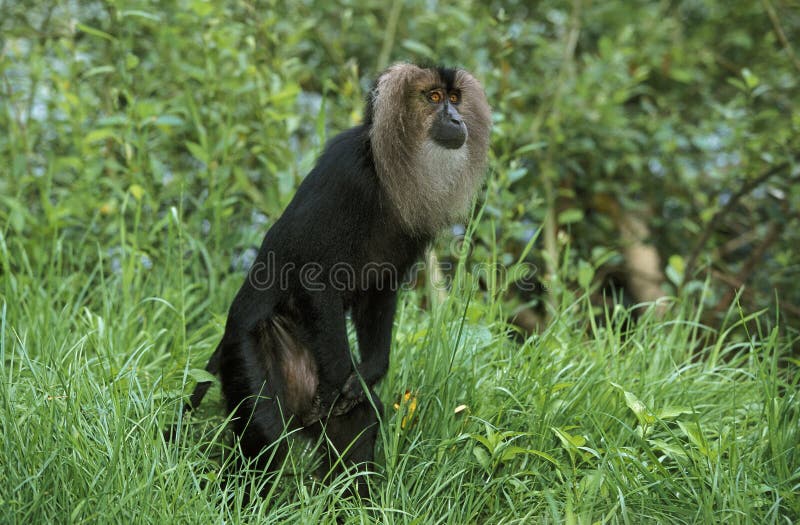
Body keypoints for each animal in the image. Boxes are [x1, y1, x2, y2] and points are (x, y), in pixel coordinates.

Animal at [178, 63, 491, 497]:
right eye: (433, 98)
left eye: (456, 98)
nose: (457, 119)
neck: (384, 168)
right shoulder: (347, 175)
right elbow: (316, 278)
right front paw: (348, 379)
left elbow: (380, 289)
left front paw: (366, 376)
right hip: (248, 347)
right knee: (266, 431)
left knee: (356, 425)